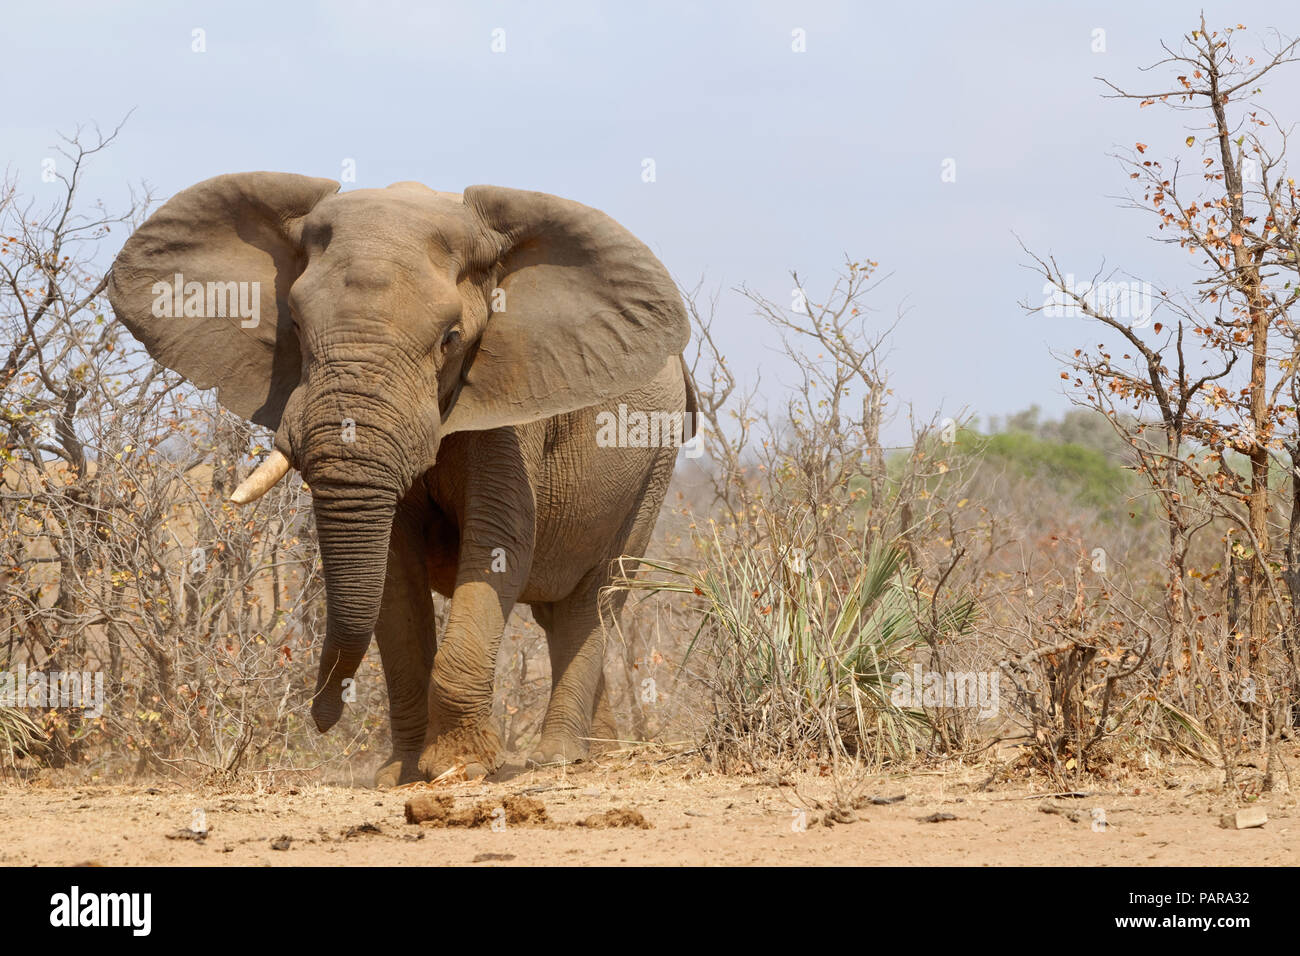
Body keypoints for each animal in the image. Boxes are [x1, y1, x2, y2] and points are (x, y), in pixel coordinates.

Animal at [107, 172, 693, 786]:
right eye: (296, 326)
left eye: (451, 338)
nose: (319, 716)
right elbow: (394, 573)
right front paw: (402, 774)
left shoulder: (511, 409)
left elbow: (498, 547)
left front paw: (460, 768)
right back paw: (598, 749)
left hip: (654, 465)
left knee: (595, 599)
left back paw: (560, 755)